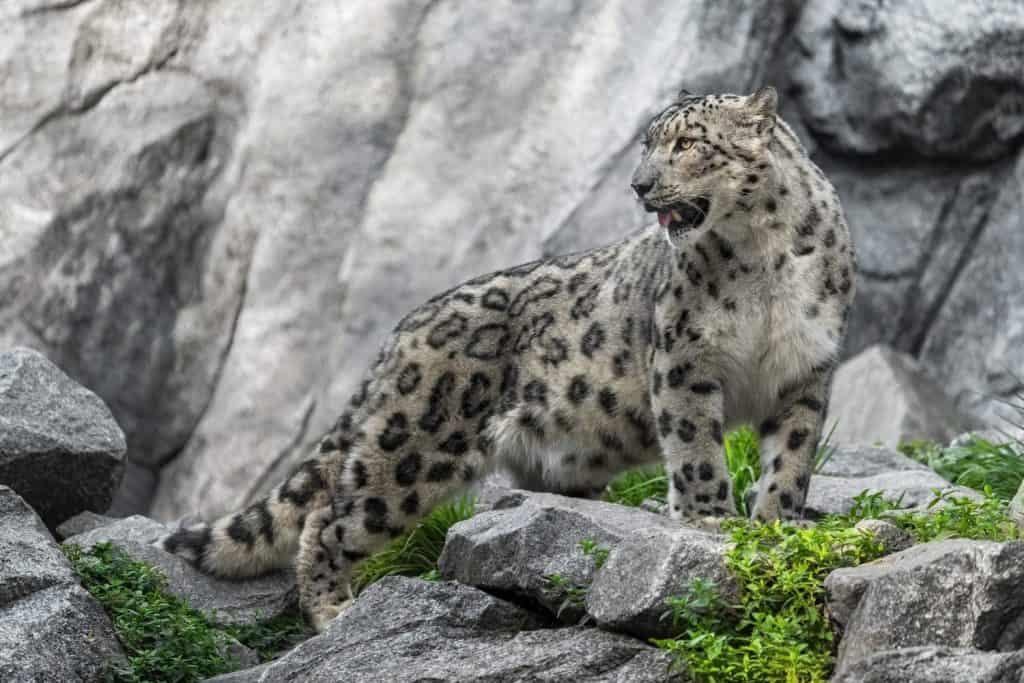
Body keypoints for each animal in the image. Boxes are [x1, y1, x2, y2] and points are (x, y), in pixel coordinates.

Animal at [161, 86, 855, 632]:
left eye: (688, 143)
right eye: (647, 145)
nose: (640, 185)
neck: (761, 257)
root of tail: (402, 330)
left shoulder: (806, 368)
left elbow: (792, 456)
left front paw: (777, 522)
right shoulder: (685, 359)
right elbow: (696, 449)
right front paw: (711, 520)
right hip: (413, 449)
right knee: (330, 519)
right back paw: (333, 609)